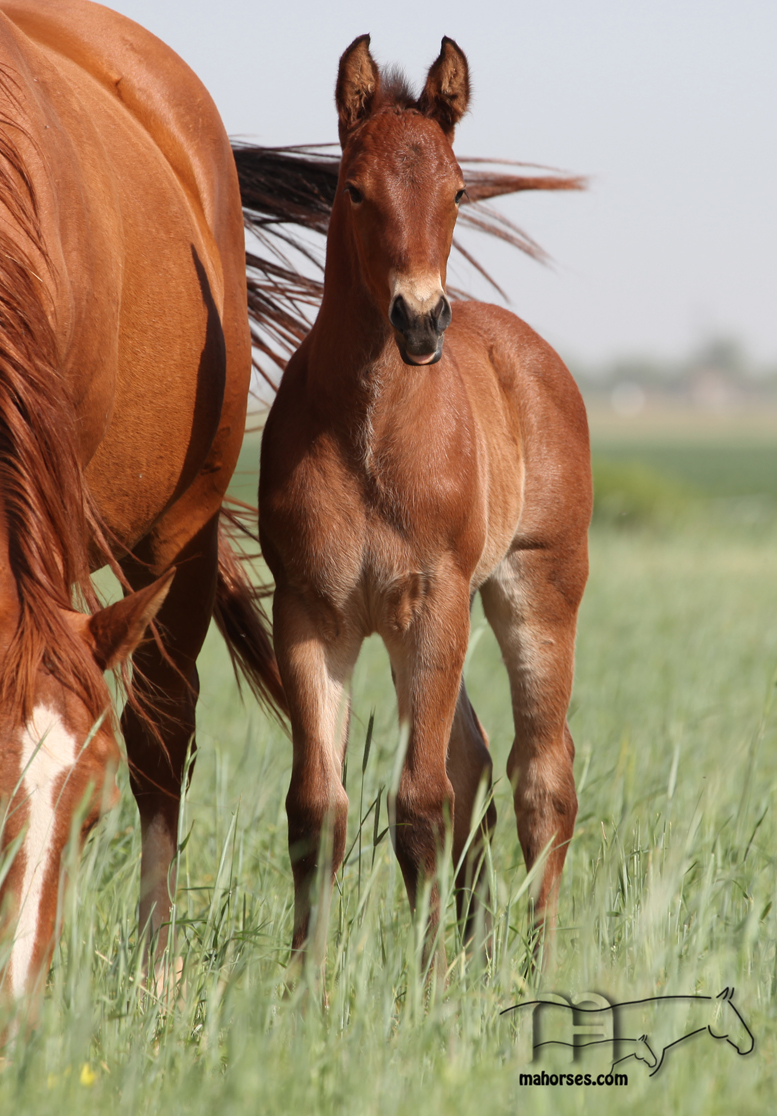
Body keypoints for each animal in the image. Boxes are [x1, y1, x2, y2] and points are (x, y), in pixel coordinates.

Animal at [258, 35, 592, 966]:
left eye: (458, 190)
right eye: (353, 188)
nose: (418, 321)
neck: (370, 435)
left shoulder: (431, 601)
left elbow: (419, 802)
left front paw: (427, 979)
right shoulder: (309, 613)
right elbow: (317, 809)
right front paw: (305, 982)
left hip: (534, 592)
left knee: (541, 776)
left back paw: (538, 962)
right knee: (476, 760)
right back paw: (479, 951)